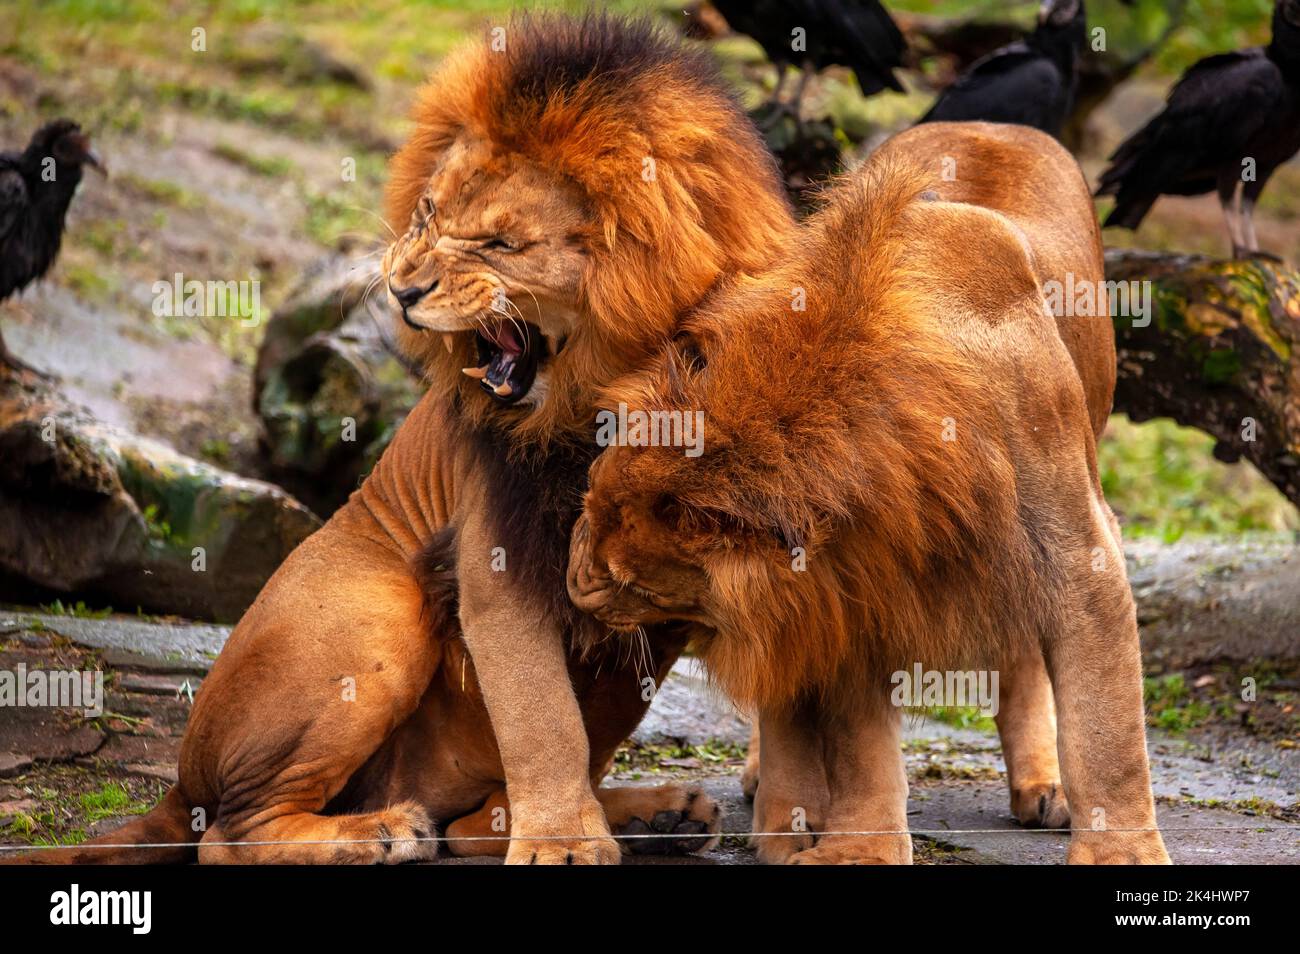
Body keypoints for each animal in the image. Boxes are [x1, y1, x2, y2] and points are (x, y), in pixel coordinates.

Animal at [18, 13, 797, 865]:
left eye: (498, 245)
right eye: (426, 215)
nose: (401, 288)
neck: (600, 397)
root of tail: (177, 786)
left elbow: (602, 719)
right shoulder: (499, 564)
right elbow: (544, 719)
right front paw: (562, 842)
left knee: (461, 816)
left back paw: (652, 812)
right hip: (379, 611)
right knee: (231, 833)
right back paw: (383, 831)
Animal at [567, 122, 1171, 865]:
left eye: (636, 581)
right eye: (589, 498)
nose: (573, 586)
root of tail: (992, 124)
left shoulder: (1079, 554)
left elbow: (1107, 731)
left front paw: (1123, 854)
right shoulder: (853, 580)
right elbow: (859, 743)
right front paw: (860, 847)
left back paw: (1041, 783)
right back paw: (781, 803)